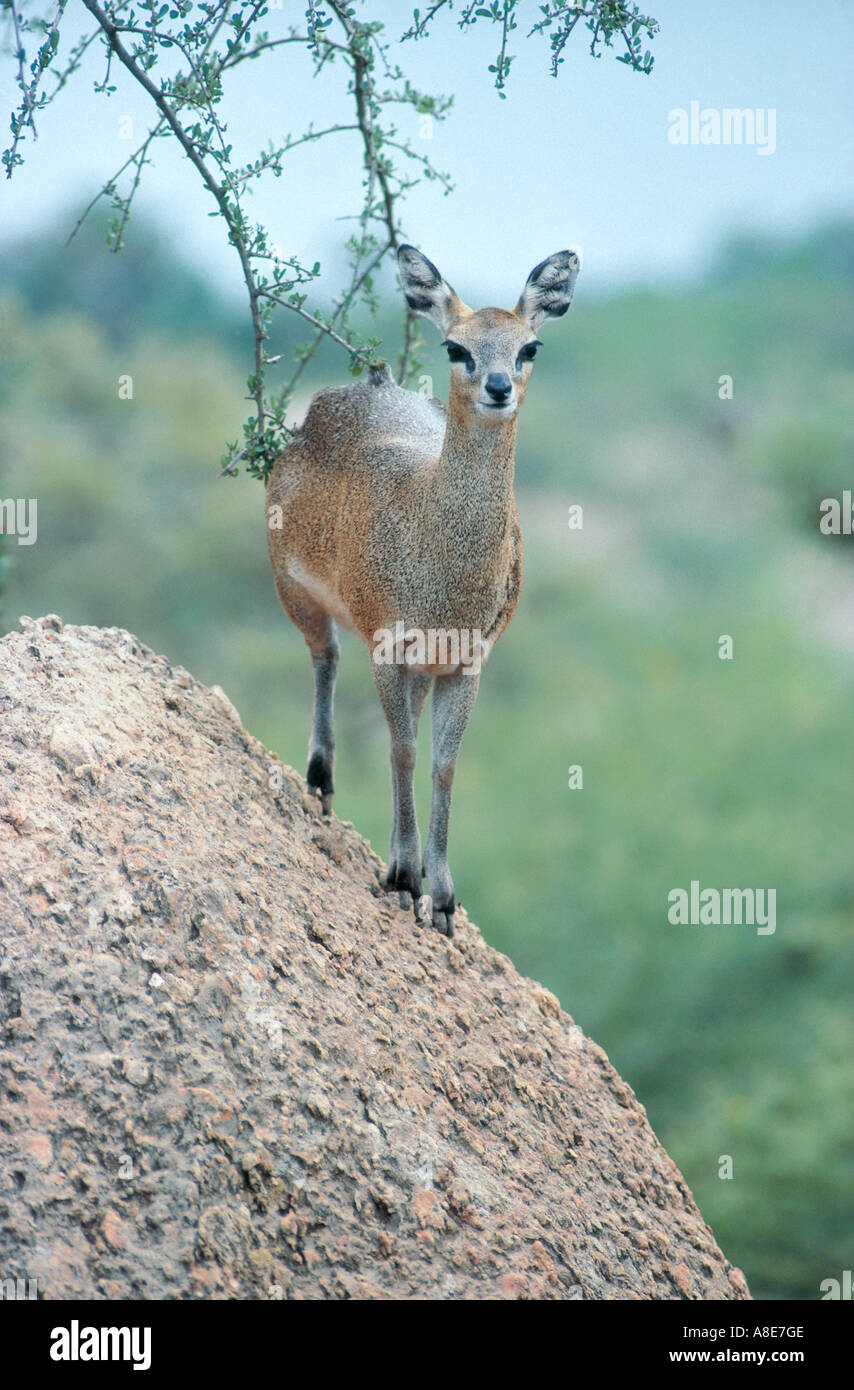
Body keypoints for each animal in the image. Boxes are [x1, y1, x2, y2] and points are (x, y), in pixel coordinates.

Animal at [266, 244, 581, 935]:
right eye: (455, 347)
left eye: (529, 347)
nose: (498, 387)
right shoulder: (387, 651)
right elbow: (404, 753)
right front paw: (408, 879)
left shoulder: (464, 664)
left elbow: (442, 763)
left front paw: (441, 894)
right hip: (296, 593)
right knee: (325, 658)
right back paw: (321, 783)